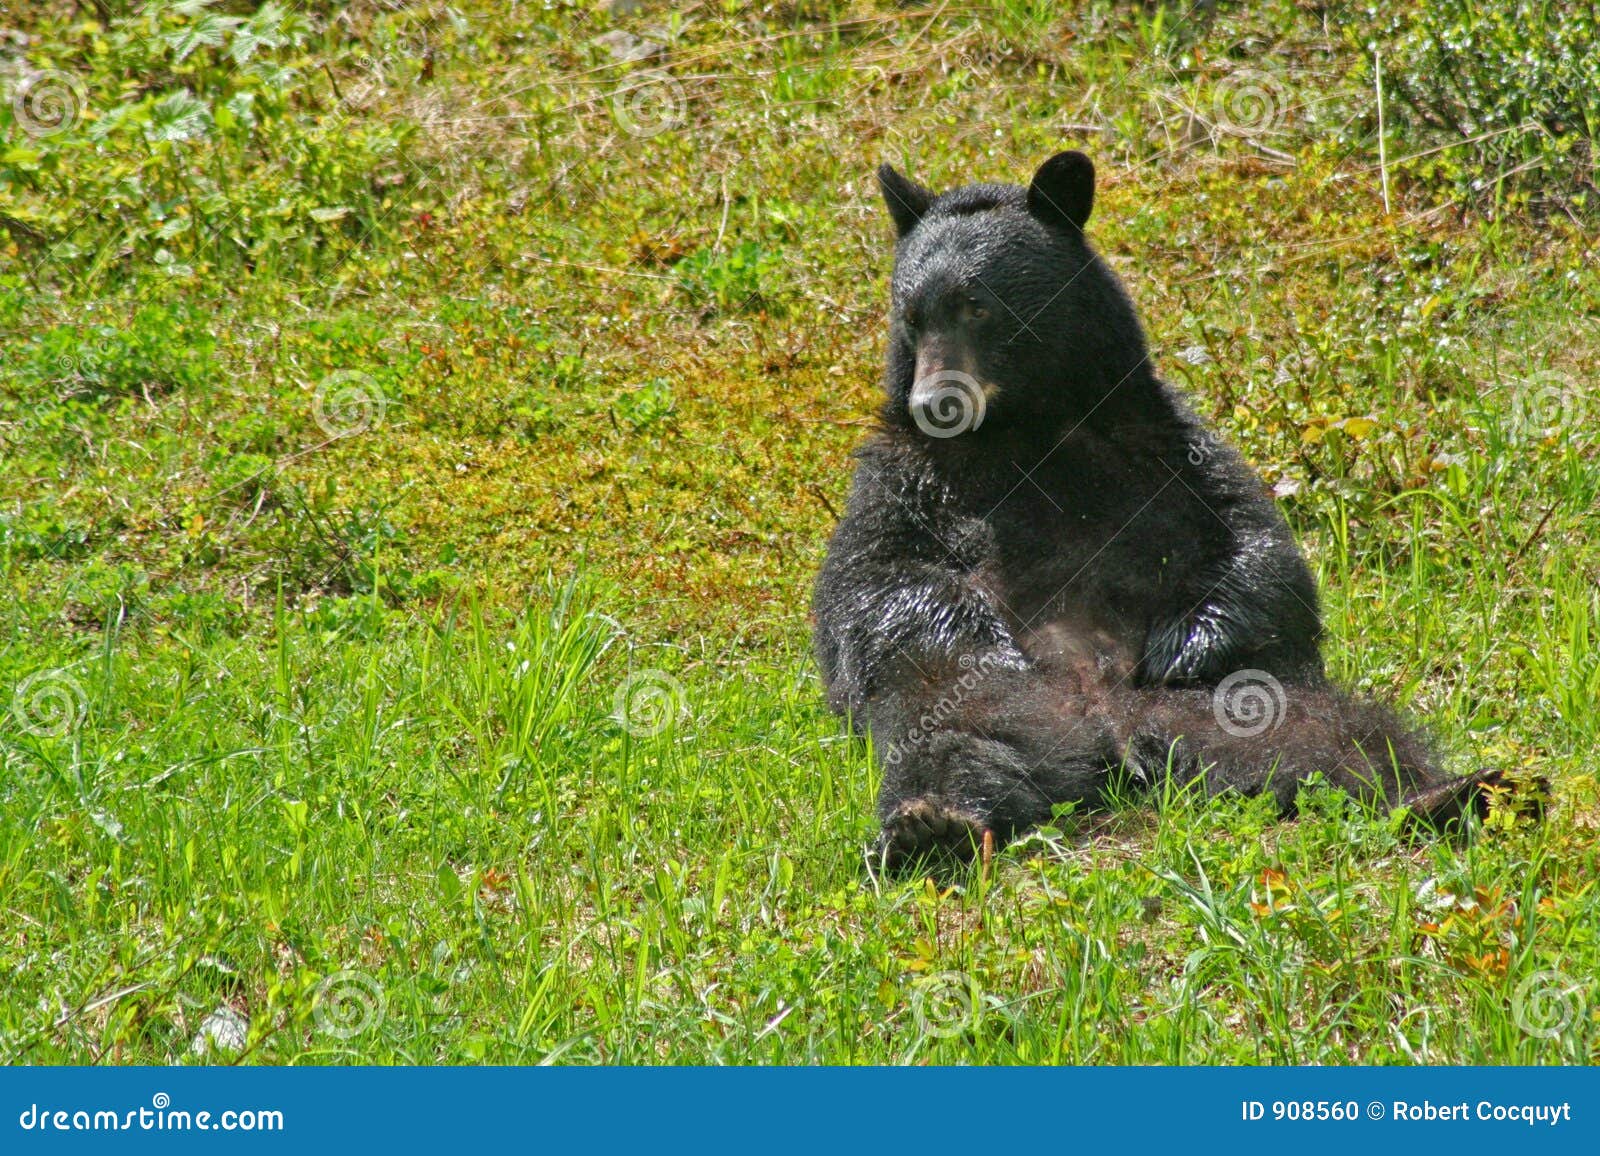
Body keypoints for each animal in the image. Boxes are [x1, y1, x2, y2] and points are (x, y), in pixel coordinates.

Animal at [812, 150, 1529, 867]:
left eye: (977, 306)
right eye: (912, 316)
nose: (934, 403)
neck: (1028, 430)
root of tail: (1114, 732)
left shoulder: (1164, 445)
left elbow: (1253, 546)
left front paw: (1183, 647)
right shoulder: (902, 480)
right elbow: (877, 582)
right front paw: (968, 629)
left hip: (1243, 706)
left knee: (1349, 739)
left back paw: (1458, 792)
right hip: (975, 714)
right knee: (947, 747)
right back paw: (931, 823)